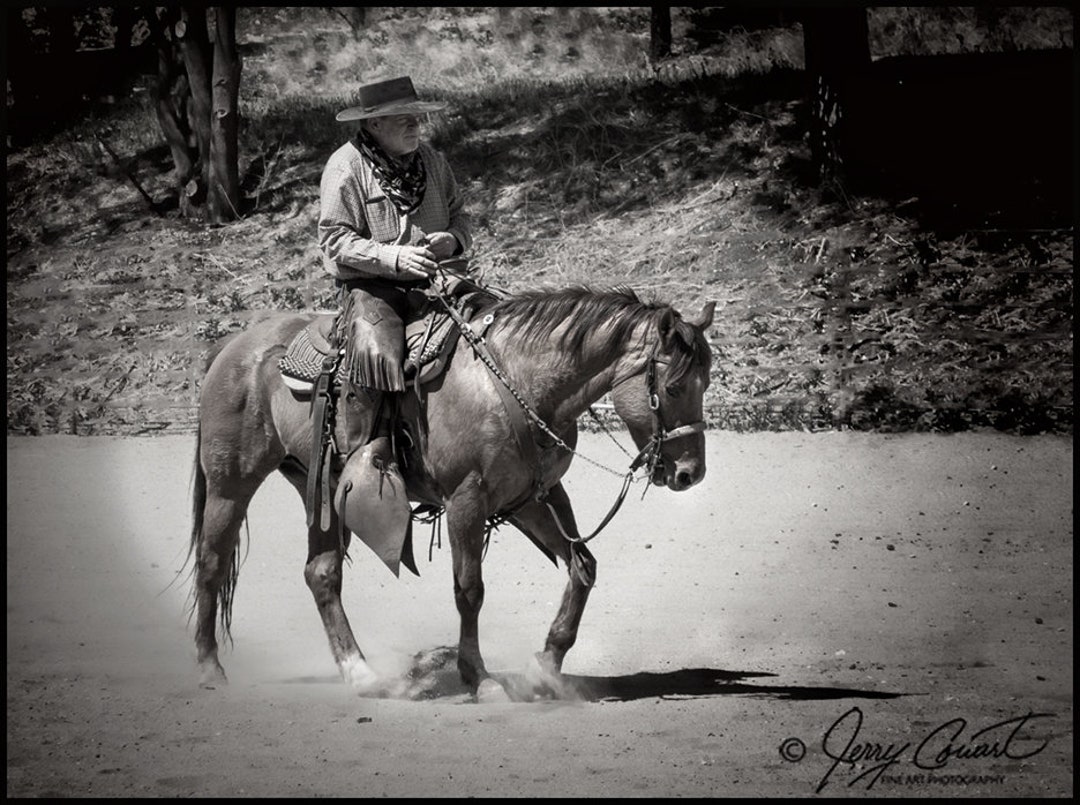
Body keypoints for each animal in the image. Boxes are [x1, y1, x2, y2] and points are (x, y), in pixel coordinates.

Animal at [190, 284, 715, 700]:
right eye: (672, 386)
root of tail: (235, 345)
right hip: (231, 484)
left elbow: (582, 566)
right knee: (212, 563)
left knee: (321, 574)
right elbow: (470, 589)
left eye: (706, 383)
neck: (515, 381)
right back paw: (209, 668)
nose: (691, 473)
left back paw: (362, 675)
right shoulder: (467, 498)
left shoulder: (536, 496)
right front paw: (479, 678)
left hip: (318, 488)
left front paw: (545, 667)